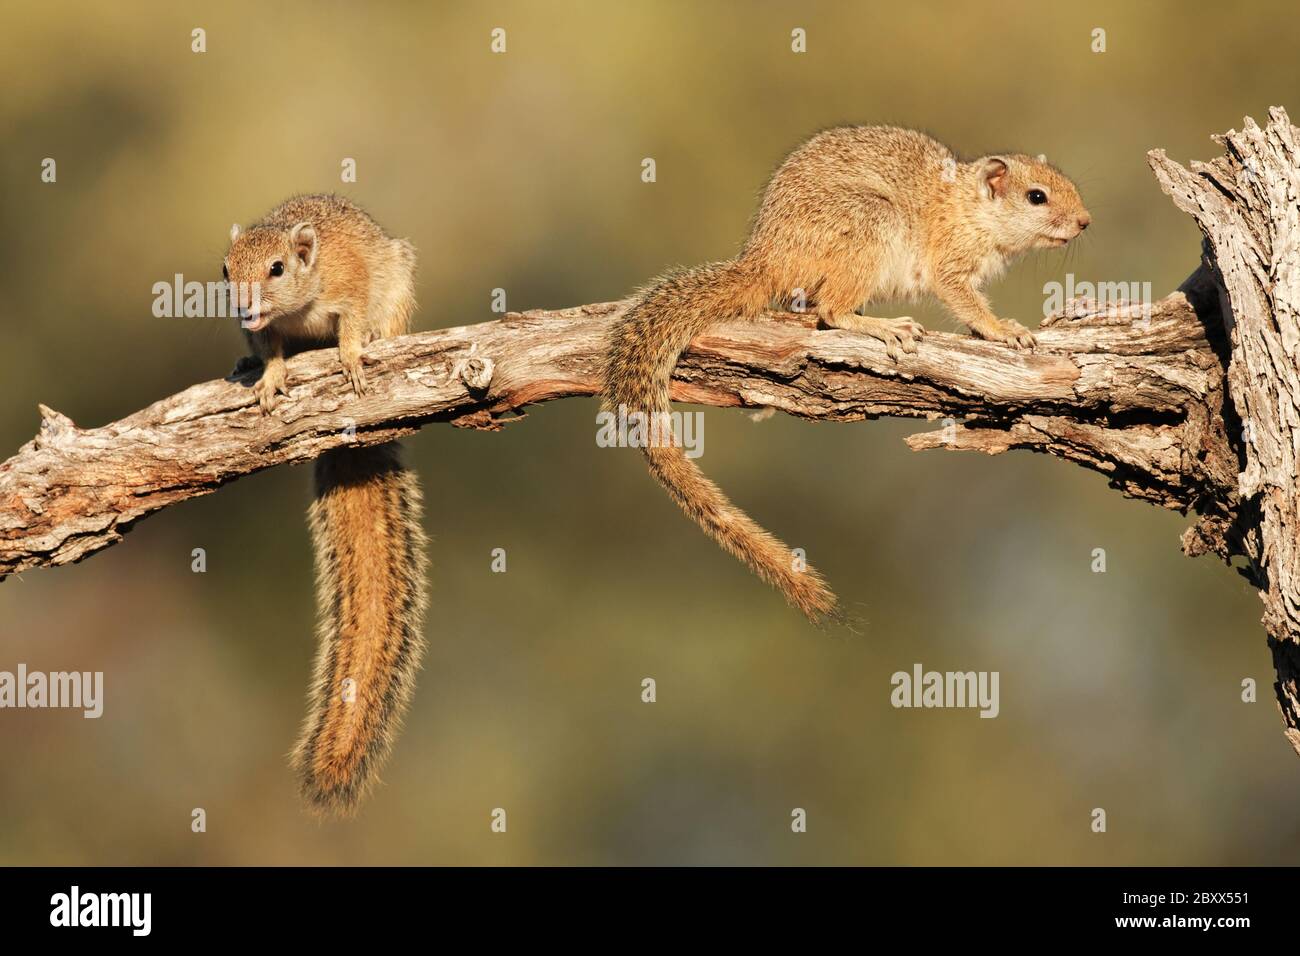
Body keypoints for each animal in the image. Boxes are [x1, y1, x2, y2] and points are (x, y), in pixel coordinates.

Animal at [224, 194, 428, 815]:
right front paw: (268, 375)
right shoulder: (265, 333)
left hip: (400, 278)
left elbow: (352, 323)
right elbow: (270, 350)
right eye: (224, 269)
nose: (242, 308)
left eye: (276, 270)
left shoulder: (352, 285)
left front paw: (355, 353)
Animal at [603, 126, 1091, 623]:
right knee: (832, 310)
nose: (1085, 221)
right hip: (869, 225)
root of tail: (766, 259)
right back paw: (884, 326)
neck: (970, 207)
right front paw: (1002, 329)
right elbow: (964, 300)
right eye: (1036, 196)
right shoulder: (951, 263)